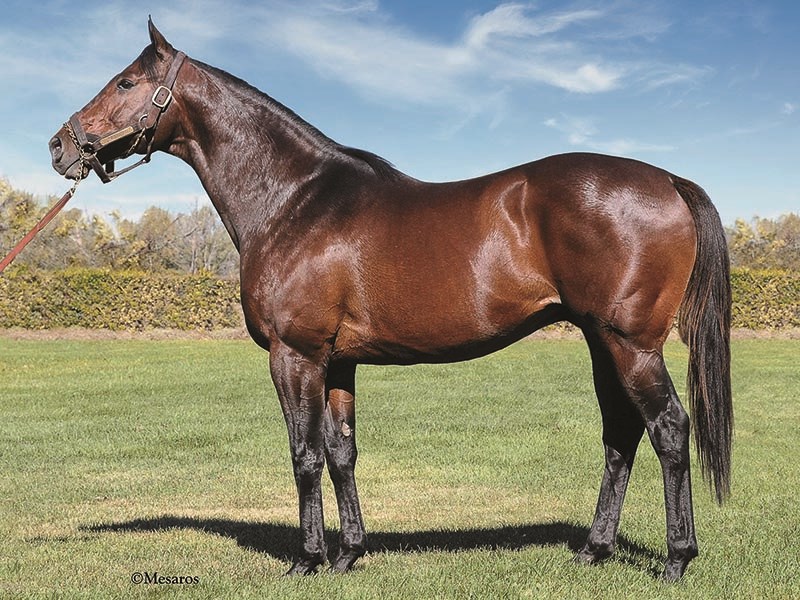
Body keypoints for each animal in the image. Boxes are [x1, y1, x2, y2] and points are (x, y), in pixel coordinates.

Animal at [49, 19, 732, 581]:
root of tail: (667, 180)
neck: (294, 200)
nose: (60, 145)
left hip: (631, 343)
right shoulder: (338, 362)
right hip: (600, 340)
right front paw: (349, 553)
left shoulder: (295, 354)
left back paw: (677, 559)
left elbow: (303, 453)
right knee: (621, 433)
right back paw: (594, 550)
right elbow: (341, 452)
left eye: (126, 81)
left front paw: (309, 560)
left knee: (669, 429)